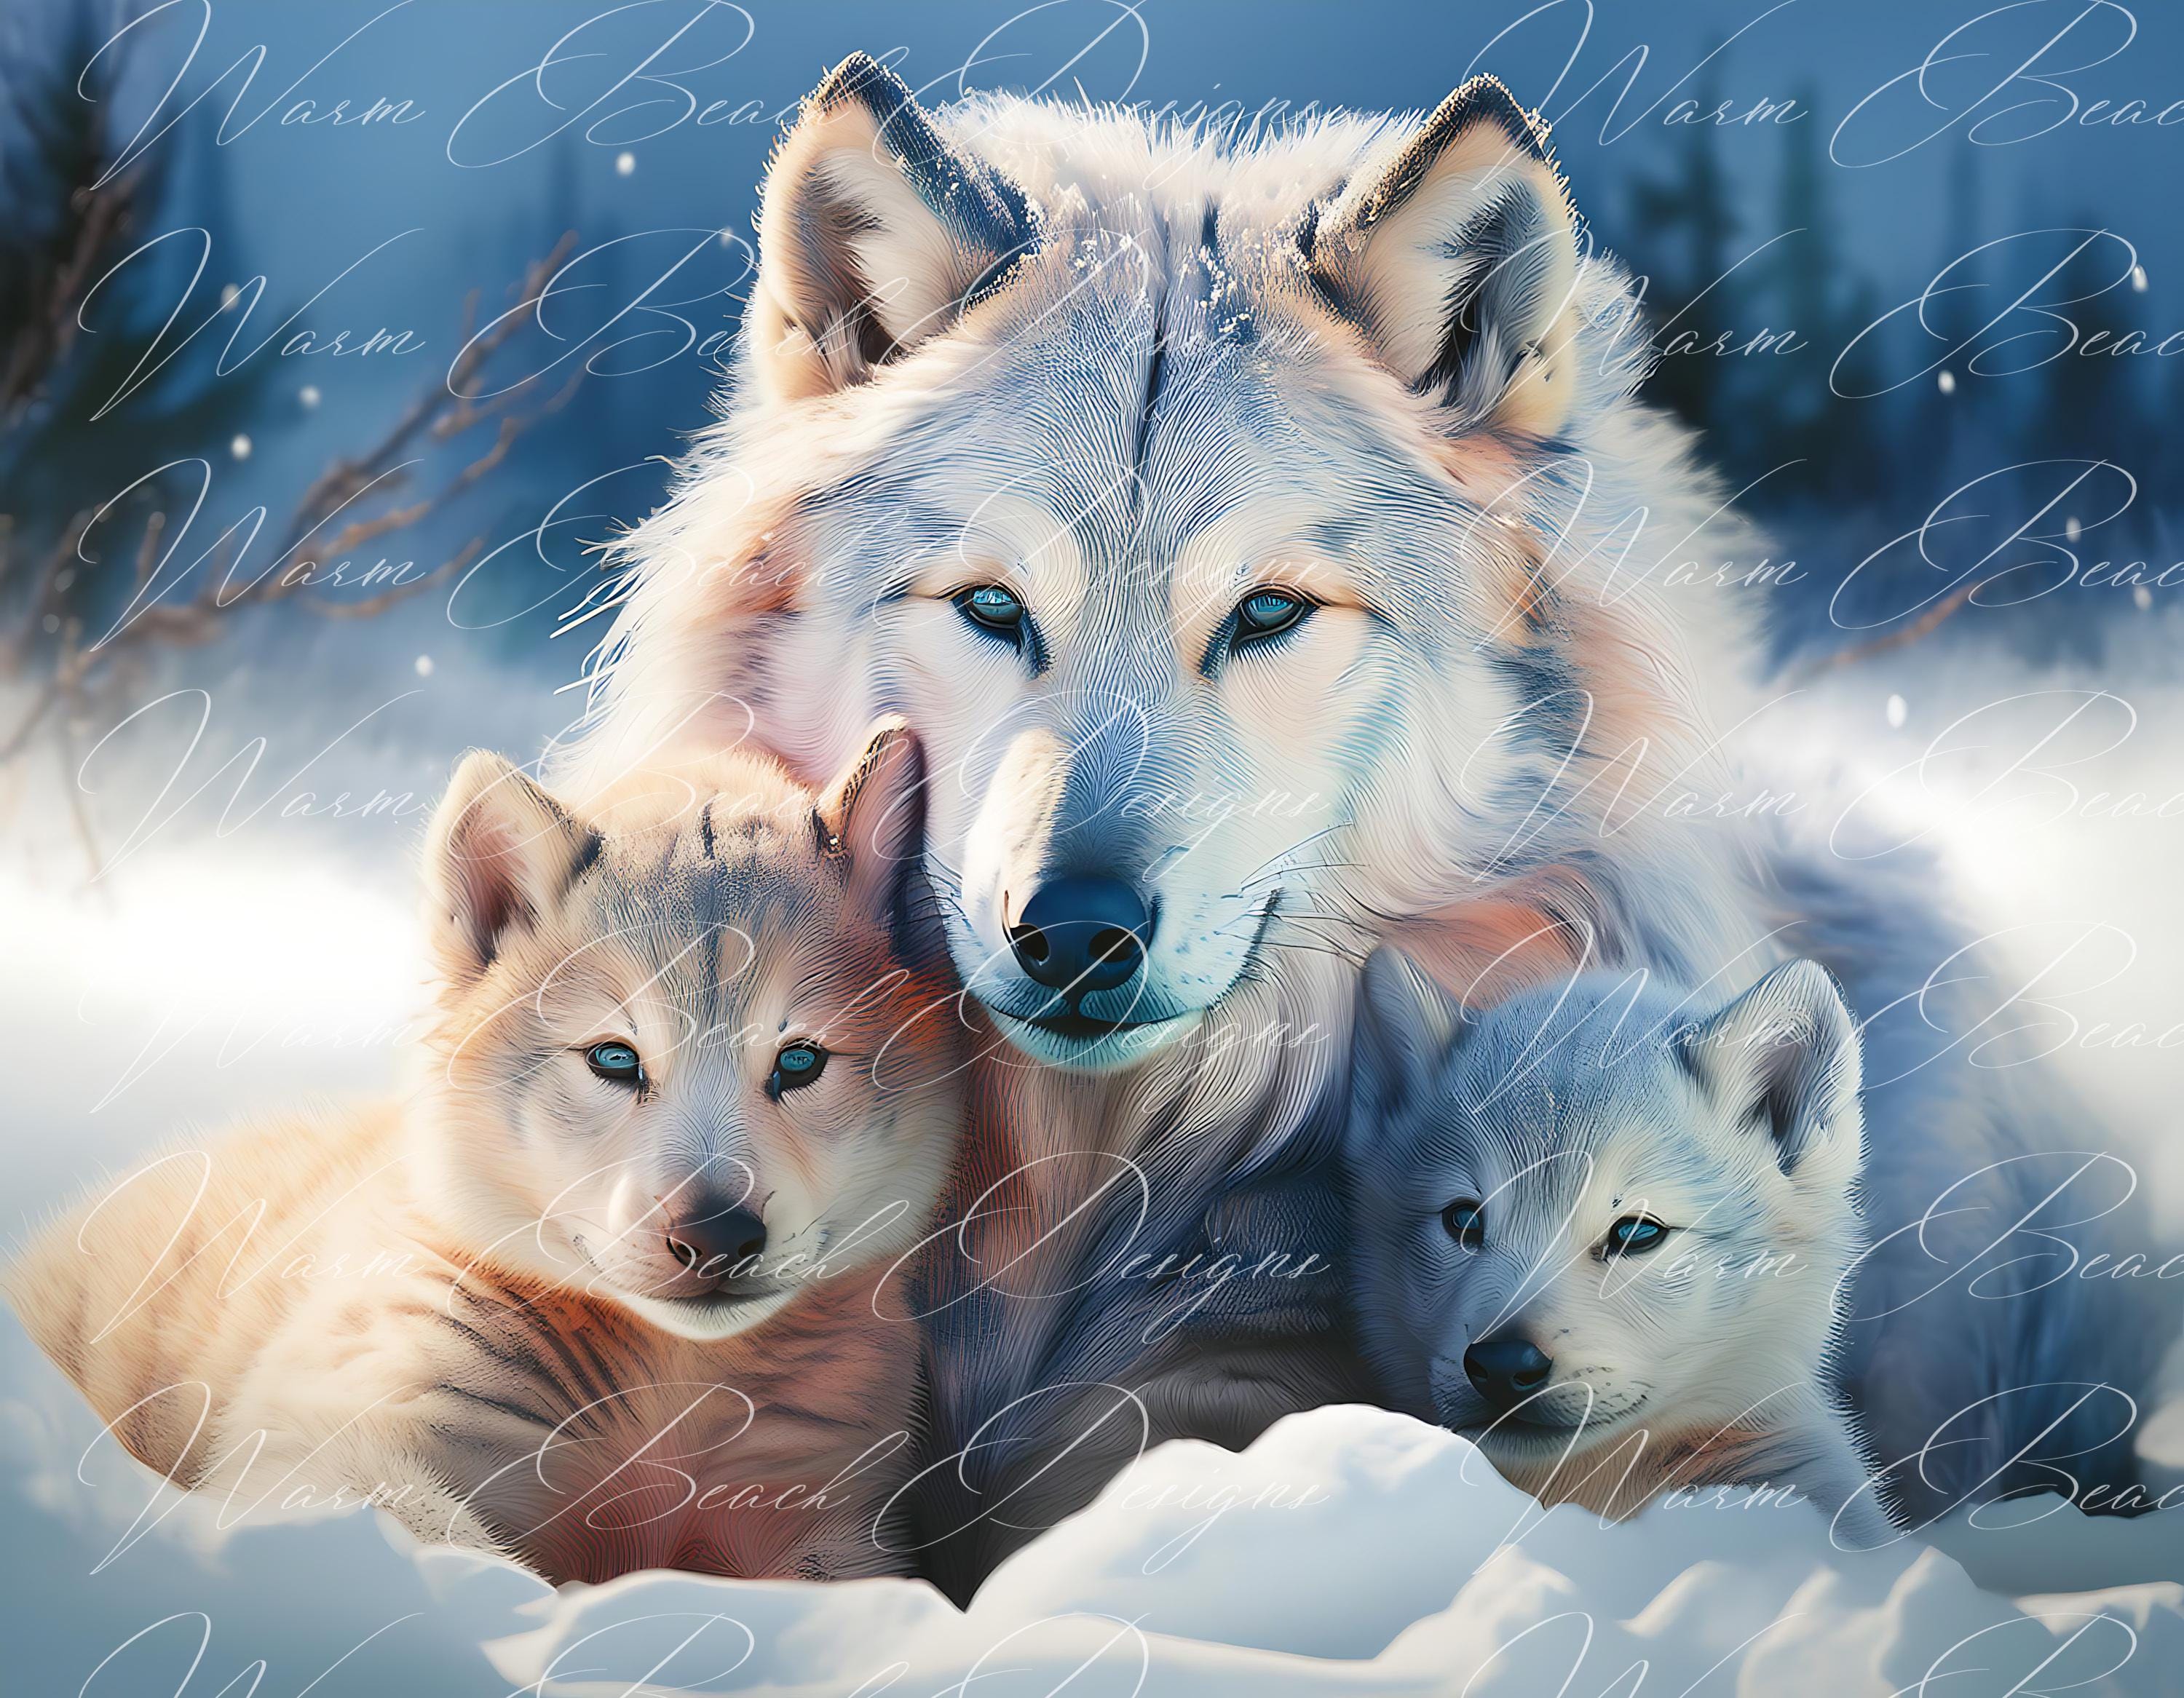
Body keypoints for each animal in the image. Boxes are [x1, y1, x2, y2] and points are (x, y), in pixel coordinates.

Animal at [5, 720, 963, 1584]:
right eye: (614, 1058)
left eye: (798, 1061)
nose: (717, 1235)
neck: (667, 1389)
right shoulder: (331, 1434)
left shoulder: (829, 1507)